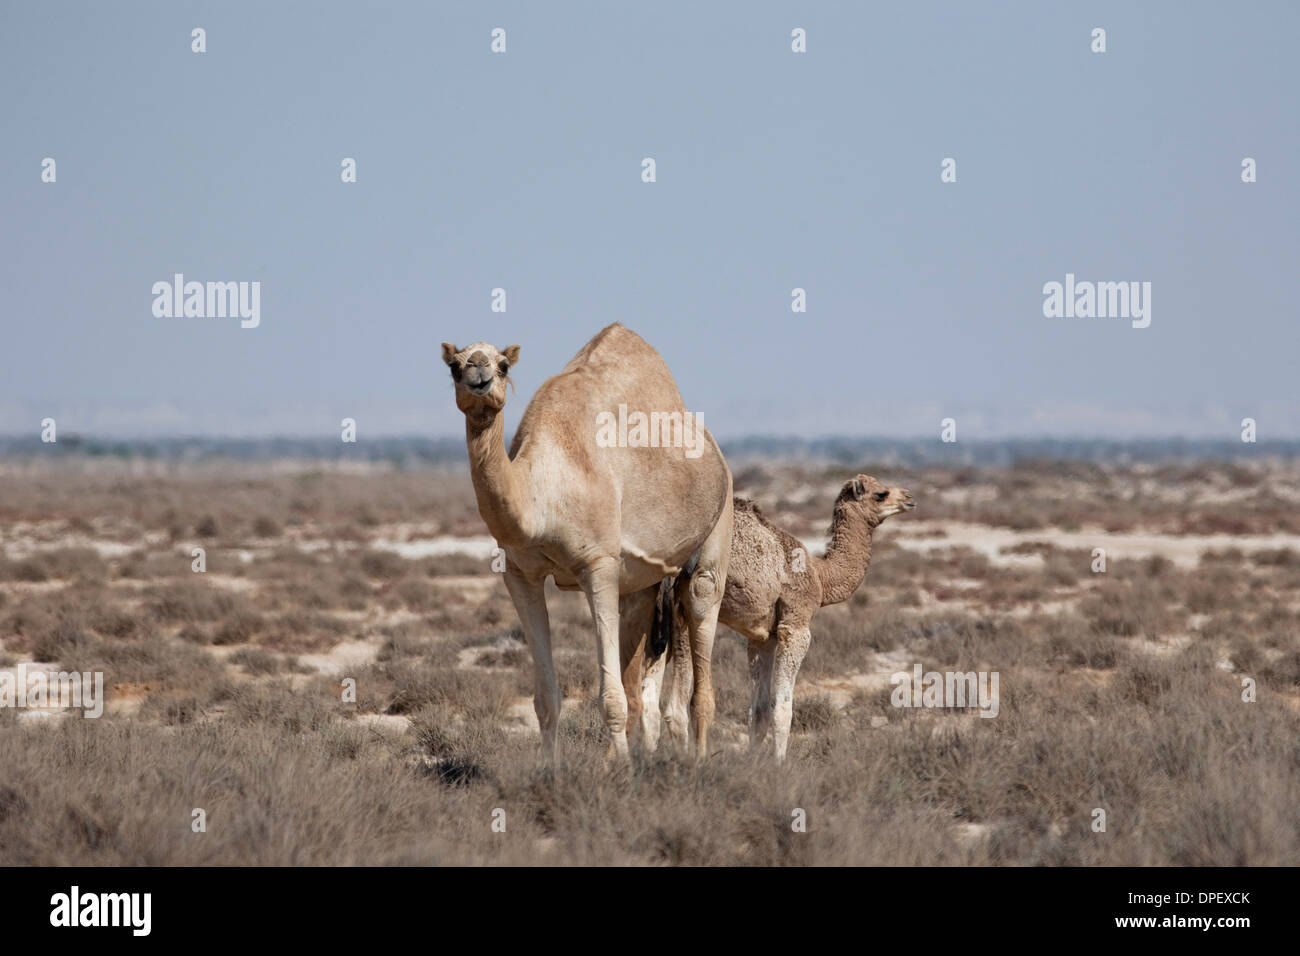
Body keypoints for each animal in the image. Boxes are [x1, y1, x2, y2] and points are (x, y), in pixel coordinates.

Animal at [441, 324, 732, 762]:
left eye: (504, 364)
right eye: (454, 366)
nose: (479, 372)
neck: (542, 496)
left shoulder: (598, 565)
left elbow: (611, 697)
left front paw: (623, 771)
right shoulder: (519, 574)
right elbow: (546, 698)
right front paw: (551, 769)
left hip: (713, 542)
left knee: (701, 634)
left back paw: (697, 761)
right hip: (642, 586)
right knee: (637, 675)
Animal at [656, 475, 913, 762]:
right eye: (881, 494)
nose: (908, 497)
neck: (821, 577)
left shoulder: (762, 637)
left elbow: (759, 711)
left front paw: (754, 762)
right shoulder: (795, 625)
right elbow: (782, 707)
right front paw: (780, 764)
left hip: (671, 606)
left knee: (667, 701)